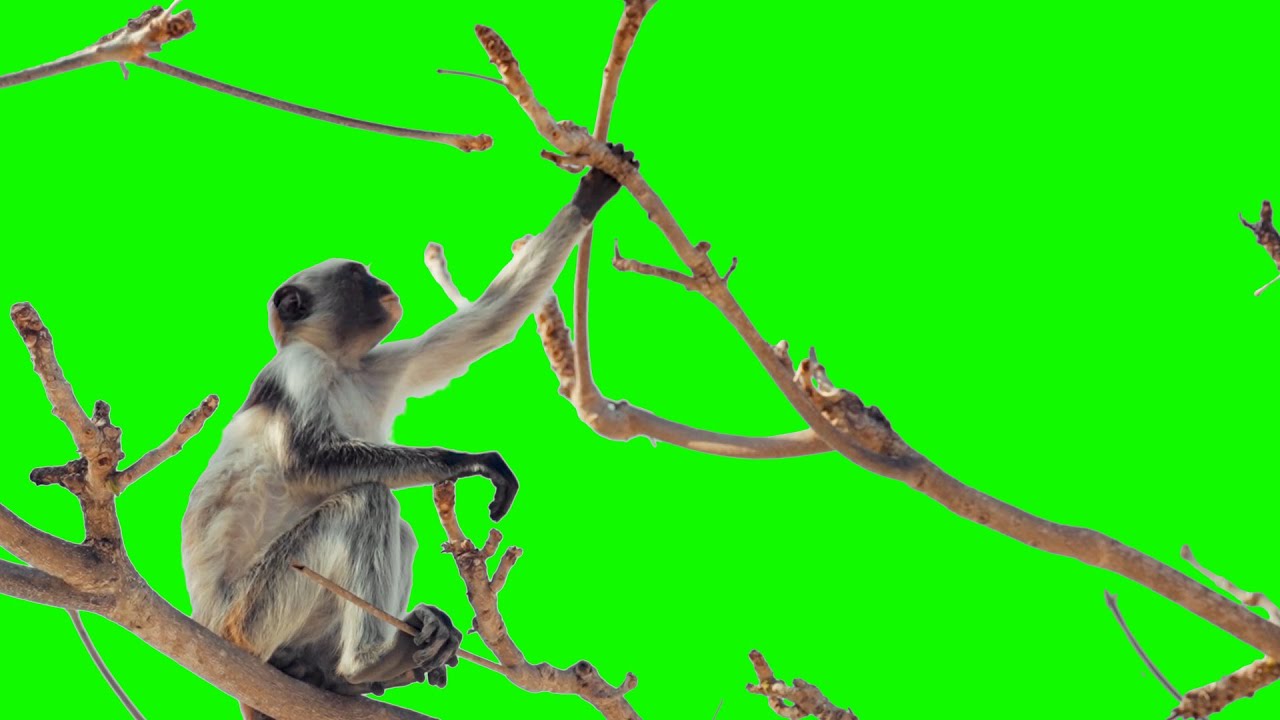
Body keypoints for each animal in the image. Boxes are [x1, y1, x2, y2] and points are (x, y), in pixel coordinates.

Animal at [180, 144, 638, 710]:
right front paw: (469, 462)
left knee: (393, 521)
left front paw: (592, 192)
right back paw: (368, 660)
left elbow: (482, 326)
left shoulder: (378, 365)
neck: (340, 366)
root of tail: (212, 624)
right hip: (252, 611)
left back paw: (334, 670)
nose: (383, 285)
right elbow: (310, 462)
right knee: (370, 499)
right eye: (359, 277)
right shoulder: (296, 368)